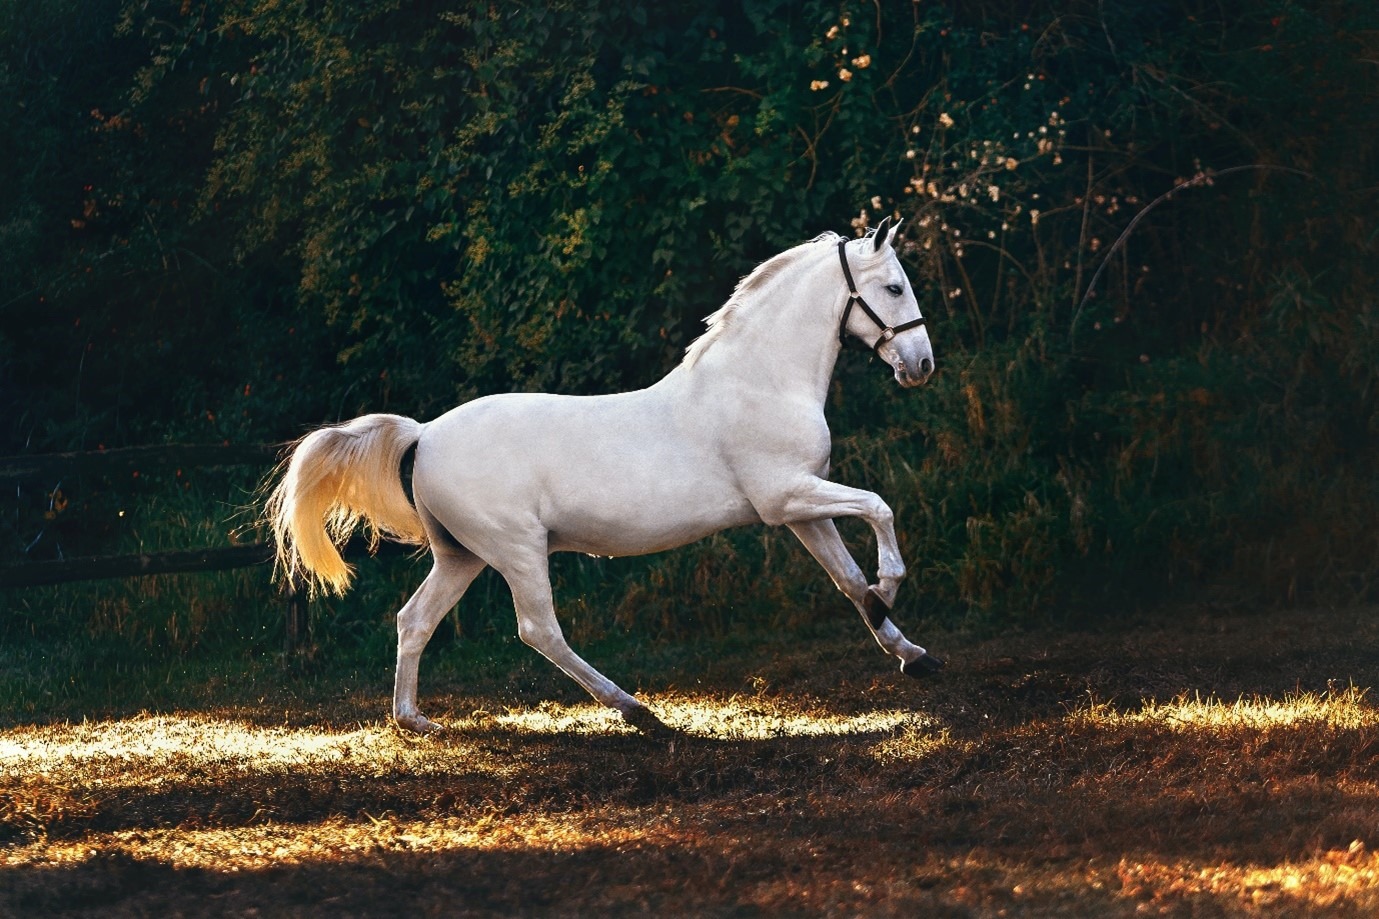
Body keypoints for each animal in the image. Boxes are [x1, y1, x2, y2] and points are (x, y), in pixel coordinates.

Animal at [265, 216, 944, 734]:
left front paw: (911, 652)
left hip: (462, 555)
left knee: (415, 620)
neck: (759, 381)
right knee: (539, 629)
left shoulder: (802, 509)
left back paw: (415, 720)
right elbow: (879, 508)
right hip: (516, 549)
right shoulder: (786, 498)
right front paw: (891, 587)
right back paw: (637, 711)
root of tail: (425, 434)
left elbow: (848, 580)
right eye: (893, 287)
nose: (921, 366)